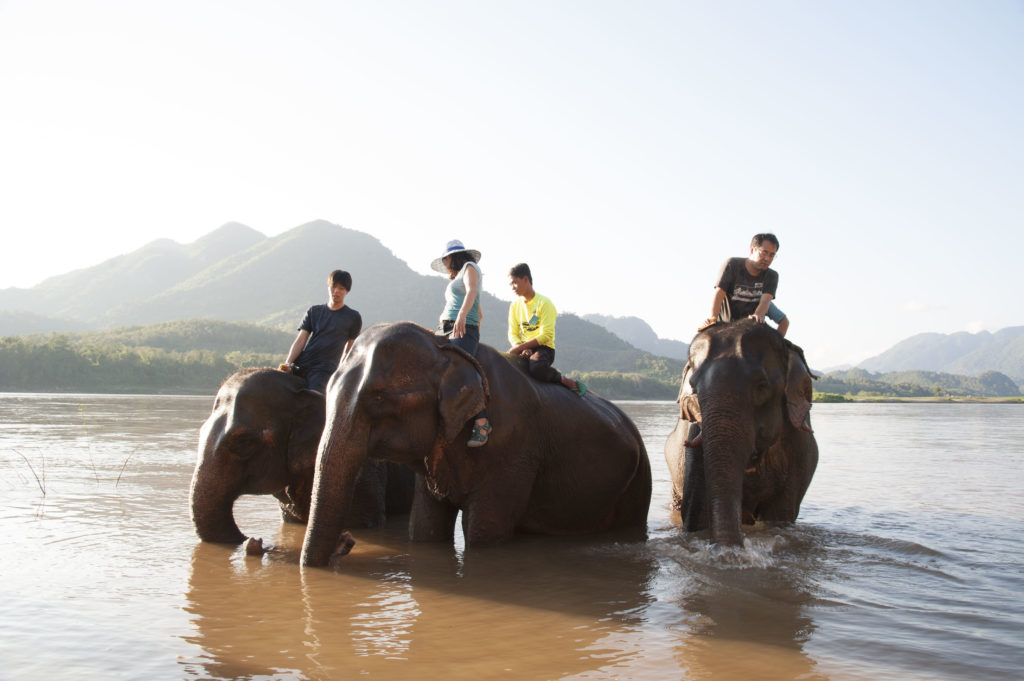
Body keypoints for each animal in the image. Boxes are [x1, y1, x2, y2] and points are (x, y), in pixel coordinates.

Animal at [300, 322, 652, 567]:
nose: (347, 542)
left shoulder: (513, 448)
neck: (443, 346)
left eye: (378, 398)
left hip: (639, 479)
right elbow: (425, 528)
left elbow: (484, 534)